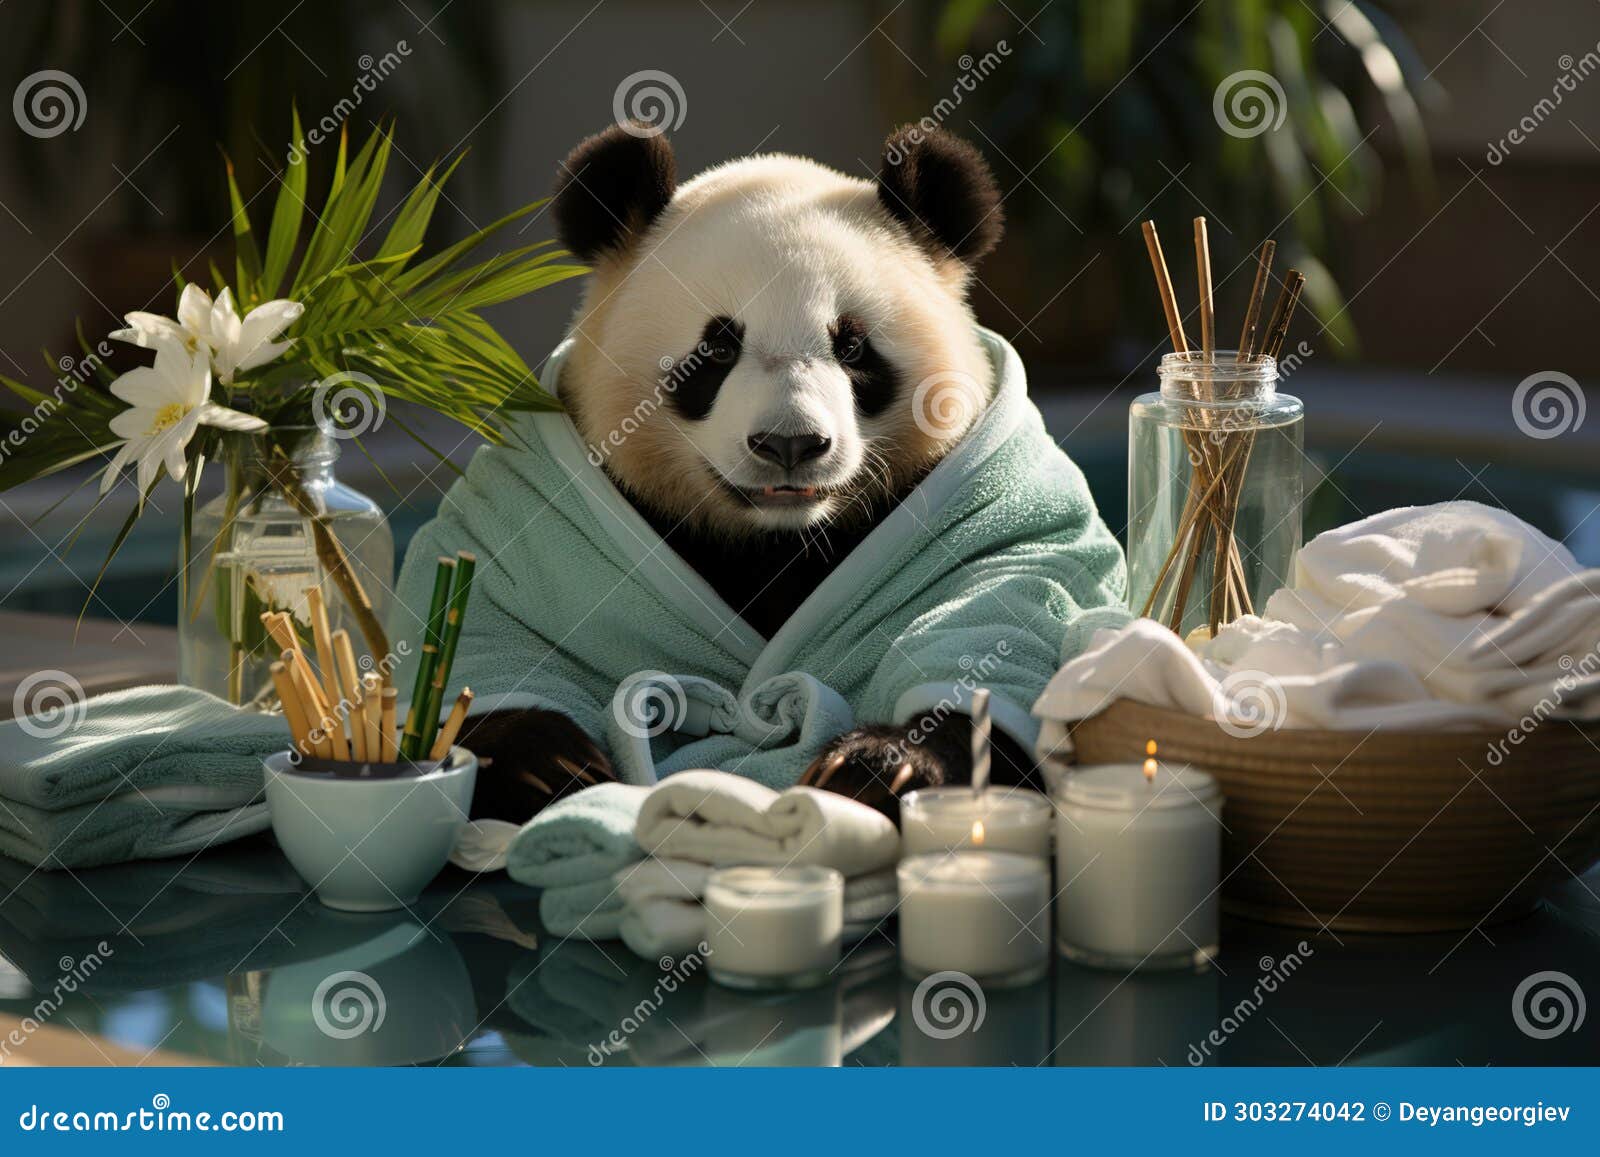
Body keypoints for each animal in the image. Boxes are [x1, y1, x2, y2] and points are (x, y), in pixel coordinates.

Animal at [460, 122, 1092, 823]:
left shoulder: (993, 530)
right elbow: (495, 646)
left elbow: (987, 629)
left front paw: (876, 767)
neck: (776, 538)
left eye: (853, 347)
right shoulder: (523, 535)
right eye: (716, 348)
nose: (791, 444)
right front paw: (550, 763)